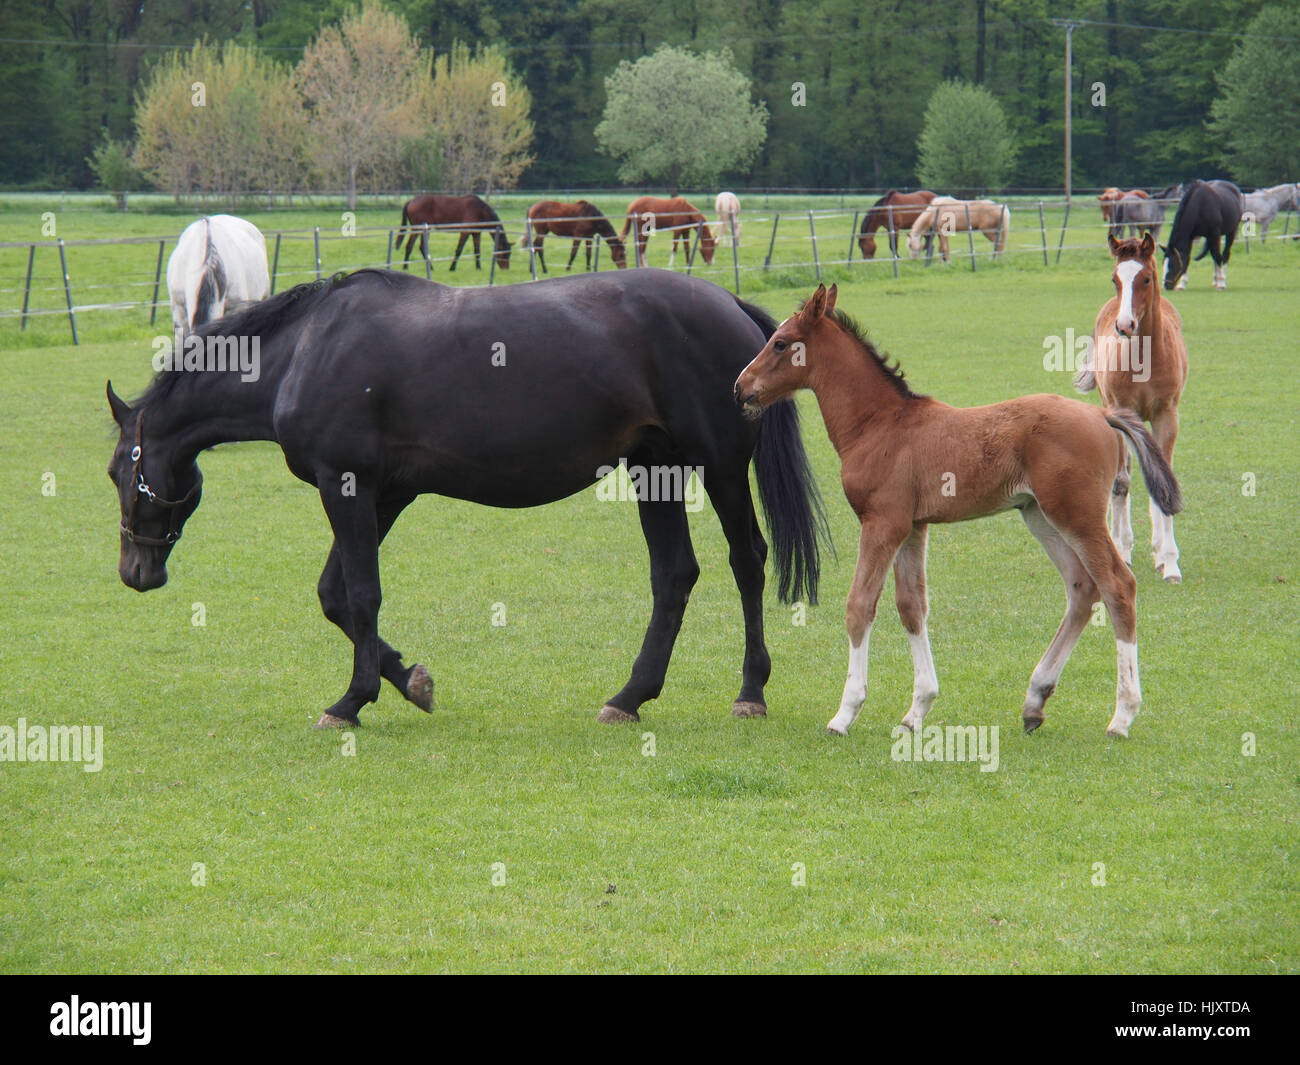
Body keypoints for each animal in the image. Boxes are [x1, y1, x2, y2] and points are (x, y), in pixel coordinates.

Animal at [107, 268, 828, 731]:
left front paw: (351, 701)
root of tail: (730, 302)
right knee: (675, 574)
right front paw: (410, 682)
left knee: (747, 560)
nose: (136, 571)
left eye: (119, 471)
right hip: (657, 467)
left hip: (720, 469)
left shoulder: (349, 488)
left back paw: (750, 690)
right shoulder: (386, 496)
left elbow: (360, 595)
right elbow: (337, 595)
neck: (308, 349)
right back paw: (630, 696)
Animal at [733, 283, 1182, 739]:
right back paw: (1035, 700)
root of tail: (1102, 414)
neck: (879, 424)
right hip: (1039, 515)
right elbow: (911, 606)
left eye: (781, 343)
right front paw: (917, 710)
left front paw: (846, 712)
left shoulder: (882, 523)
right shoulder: (913, 526)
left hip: (1078, 516)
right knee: (1082, 588)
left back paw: (1122, 714)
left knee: (1117, 586)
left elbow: (860, 605)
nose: (740, 387)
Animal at [1076, 233, 1189, 583]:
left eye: (1146, 278)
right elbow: (1121, 482)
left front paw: (1169, 562)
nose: (1124, 325)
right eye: (1115, 279)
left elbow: (1162, 479)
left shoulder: (1168, 415)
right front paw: (1121, 551)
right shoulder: (1120, 411)